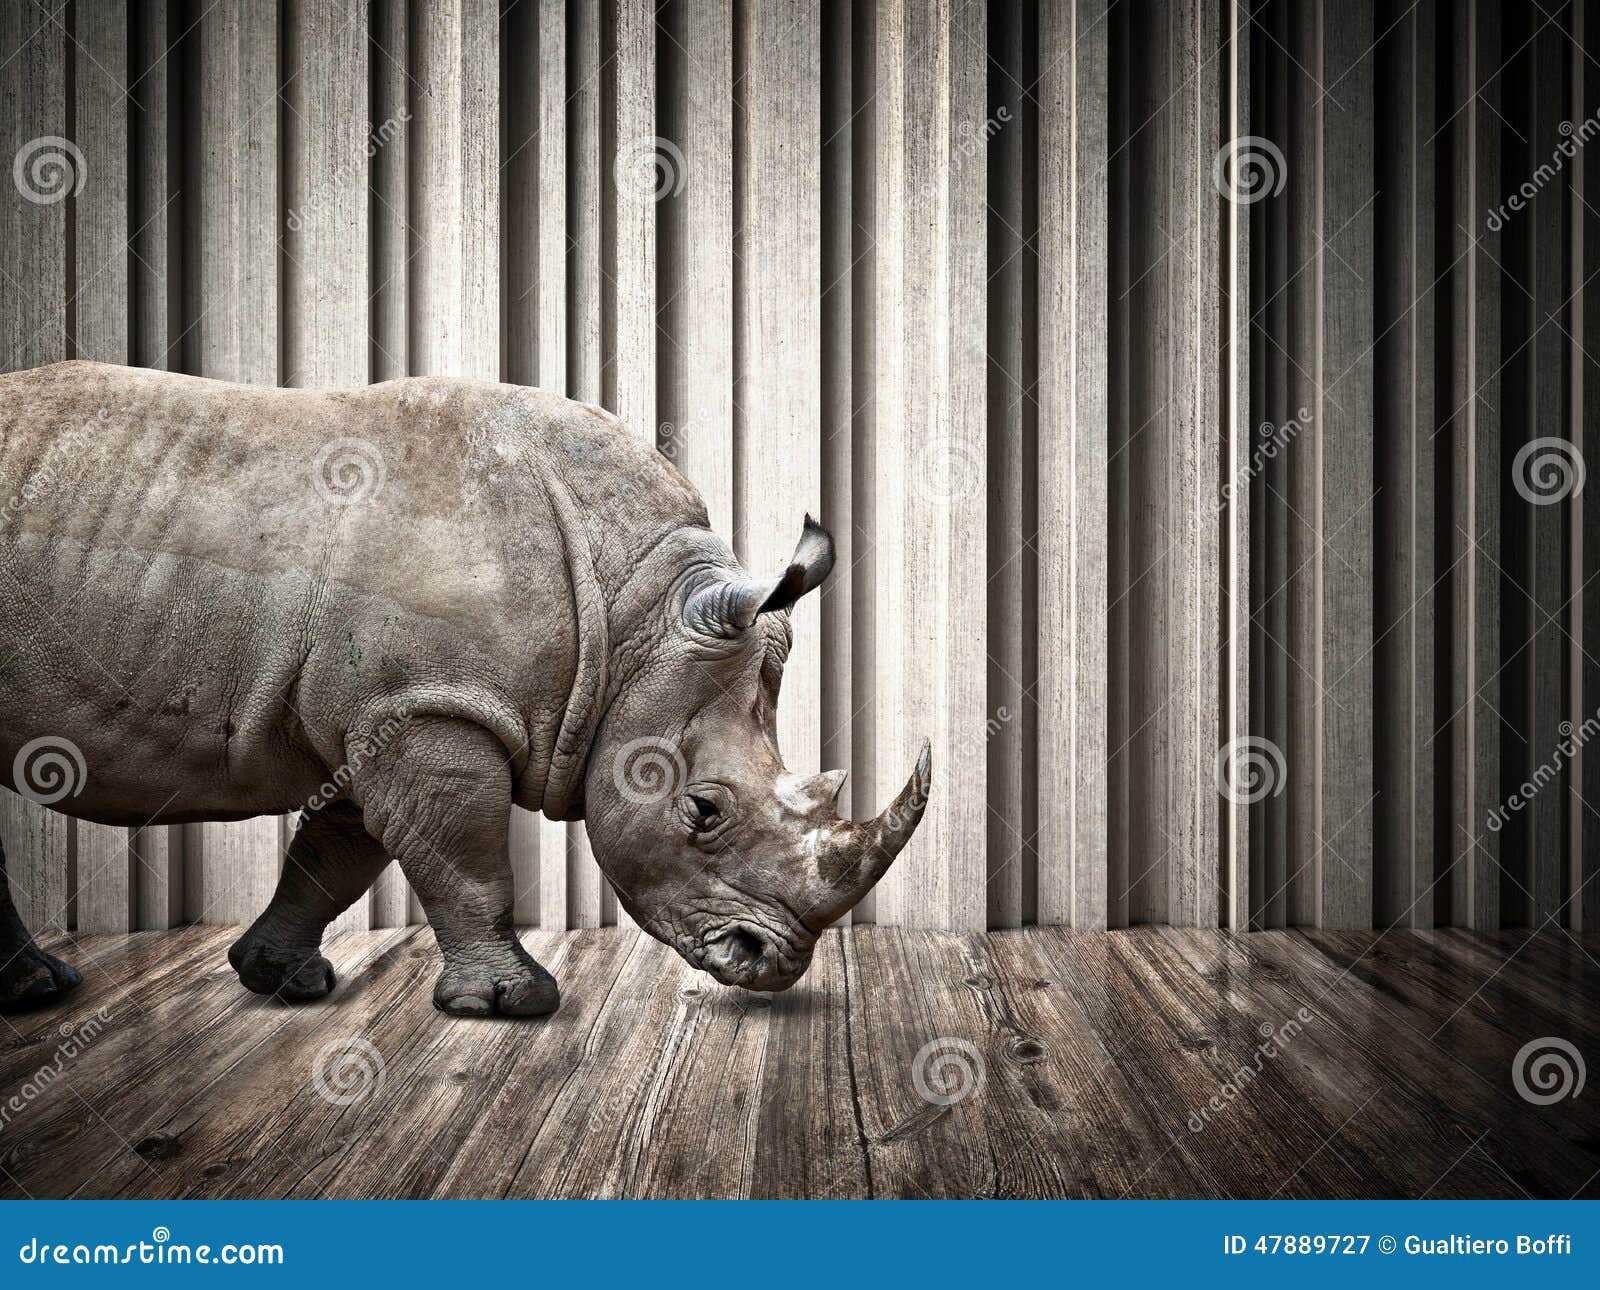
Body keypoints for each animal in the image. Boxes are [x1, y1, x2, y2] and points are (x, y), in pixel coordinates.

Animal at [0, 361, 930, 1015]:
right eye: (703, 811)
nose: (771, 964)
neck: (636, 616)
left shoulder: (387, 709)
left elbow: (335, 857)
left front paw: (281, 979)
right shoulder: (429, 706)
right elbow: (465, 860)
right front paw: (513, 1005)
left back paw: (41, 989)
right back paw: (41, 992)